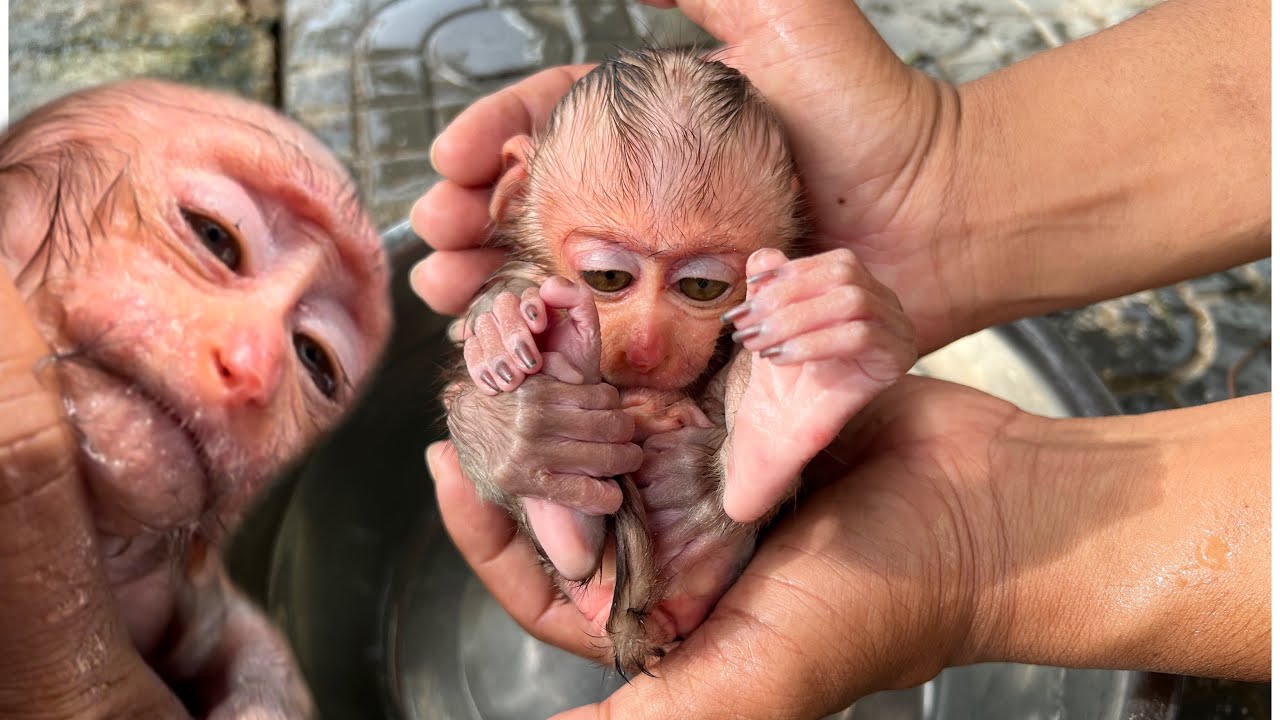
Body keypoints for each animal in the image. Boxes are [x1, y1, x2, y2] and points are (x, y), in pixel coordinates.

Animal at [442, 48, 917, 675]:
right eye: (607, 278)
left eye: (701, 286)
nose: (645, 346)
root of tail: (638, 625)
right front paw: (501, 332)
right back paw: (553, 479)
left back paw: (768, 430)